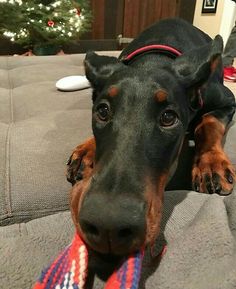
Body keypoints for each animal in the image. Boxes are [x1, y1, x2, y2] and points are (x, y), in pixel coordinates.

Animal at [67, 18, 235, 256]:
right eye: (102, 111)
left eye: (168, 117)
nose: (108, 226)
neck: (153, 60)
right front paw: (86, 151)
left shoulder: (227, 99)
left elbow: (208, 123)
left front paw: (211, 165)